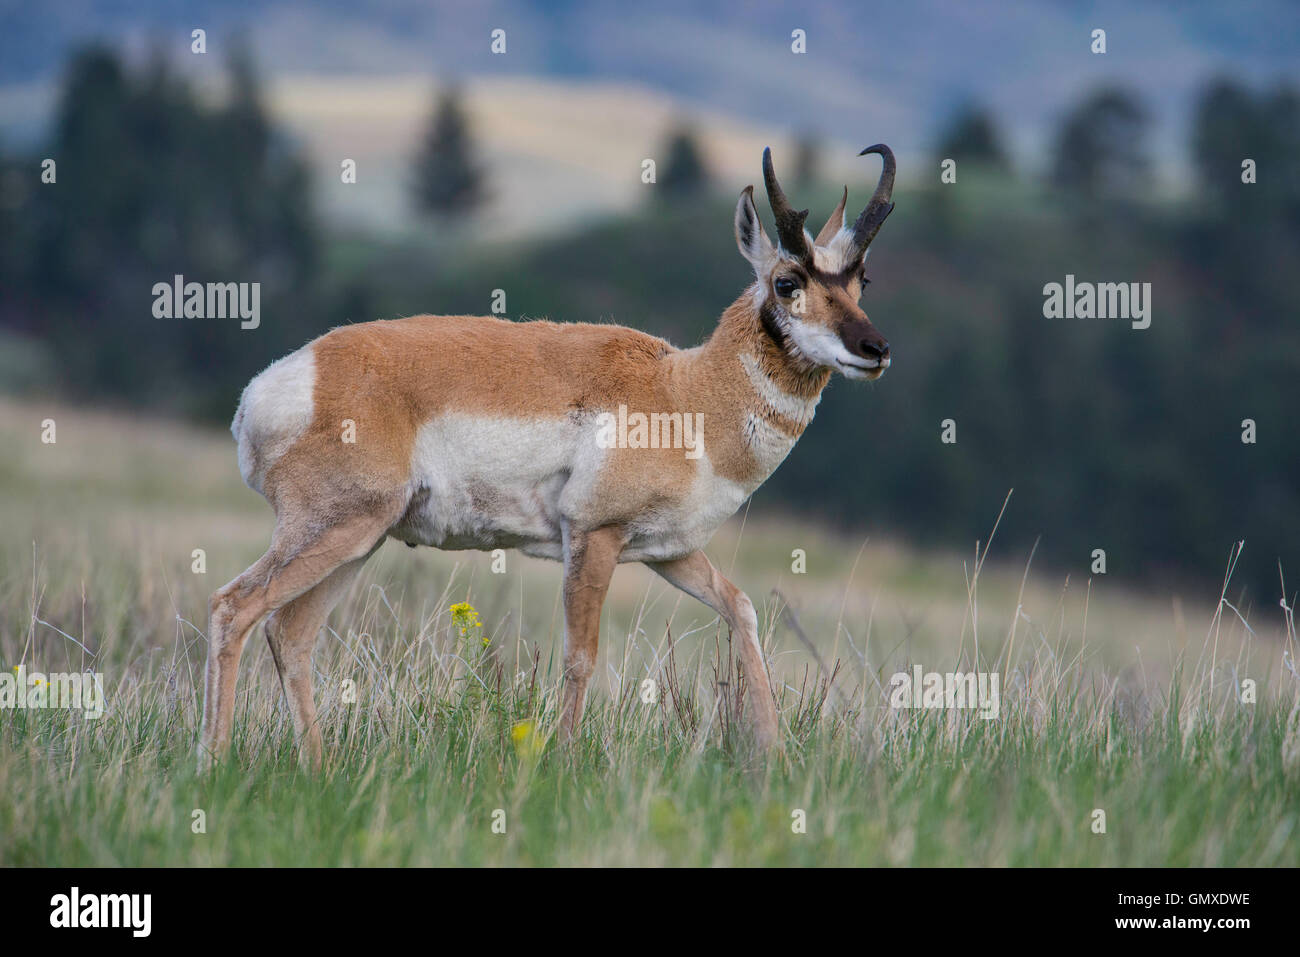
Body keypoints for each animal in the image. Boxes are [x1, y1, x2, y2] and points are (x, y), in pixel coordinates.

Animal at [198, 144, 896, 771]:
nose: (875, 349)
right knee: (234, 607)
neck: (683, 392)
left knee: (290, 633)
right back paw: (213, 765)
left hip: (359, 540)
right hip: (333, 528)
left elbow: (742, 609)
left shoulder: (670, 552)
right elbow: (580, 656)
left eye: (861, 280)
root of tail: (277, 384)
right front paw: (560, 765)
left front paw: (773, 755)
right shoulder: (594, 537)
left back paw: (316, 770)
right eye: (787, 281)